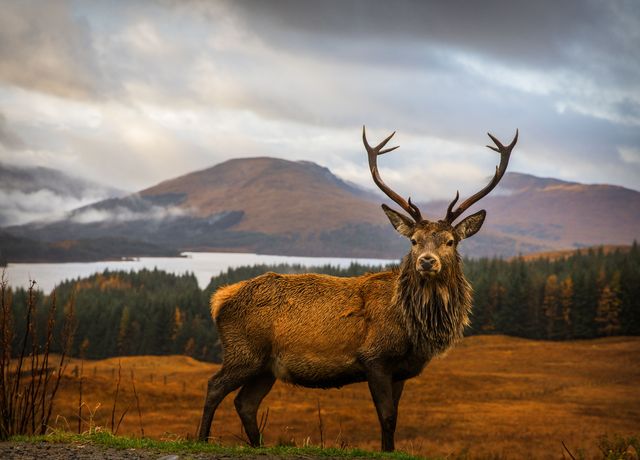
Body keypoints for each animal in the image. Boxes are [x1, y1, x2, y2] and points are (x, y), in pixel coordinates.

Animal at [197, 127, 518, 451]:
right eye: (414, 240)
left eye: (450, 241)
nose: (427, 261)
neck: (414, 329)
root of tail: (219, 299)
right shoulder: (374, 358)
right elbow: (386, 417)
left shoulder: (401, 371)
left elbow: (395, 418)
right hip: (244, 351)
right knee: (214, 386)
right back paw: (201, 438)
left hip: (266, 367)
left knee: (245, 403)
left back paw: (258, 444)